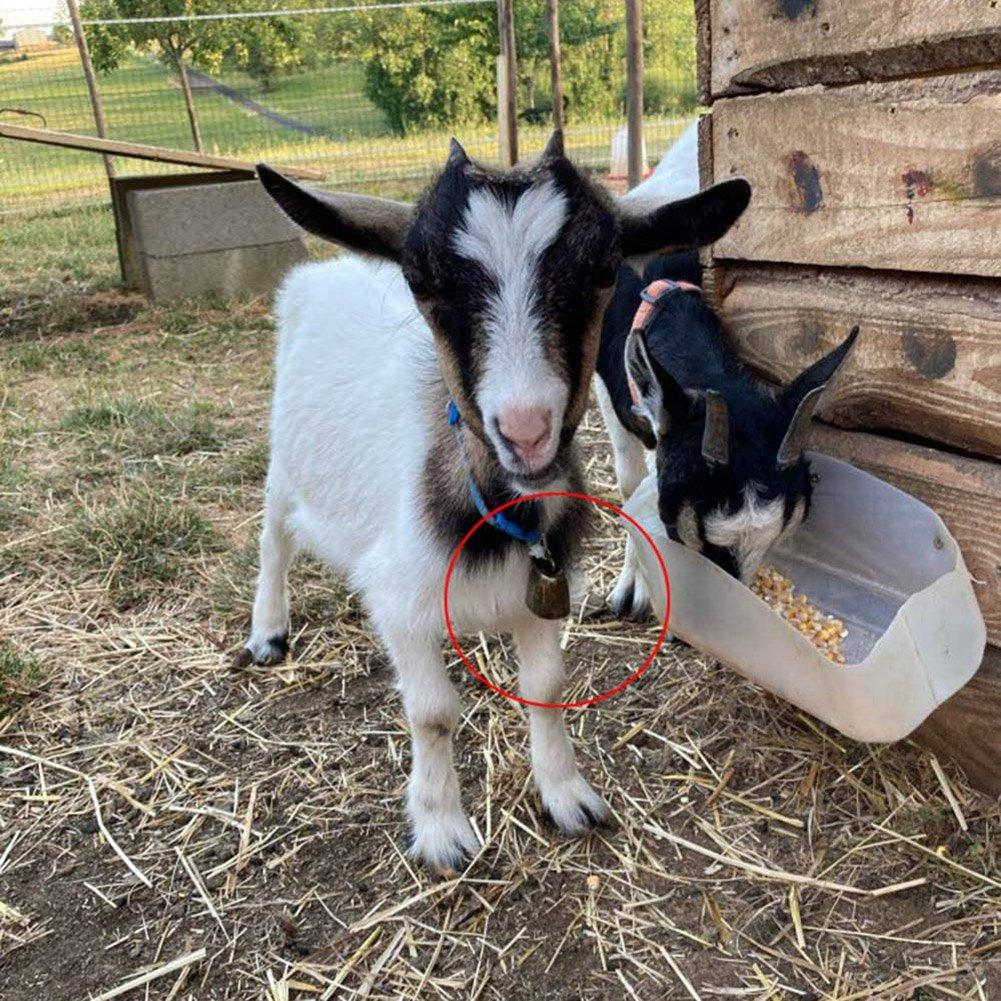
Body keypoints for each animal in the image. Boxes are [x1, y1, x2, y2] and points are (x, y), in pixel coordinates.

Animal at [238, 133, 751, 871]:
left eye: (602, 270)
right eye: (420, 280)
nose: (526, 430)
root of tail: (323, 272)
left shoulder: (540, 594)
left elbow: (547, 686)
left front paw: (567, 795)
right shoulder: (402, 602)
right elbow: (431, 712)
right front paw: (441, 830)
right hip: (284, 464)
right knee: (273, 540)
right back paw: (268, 630)